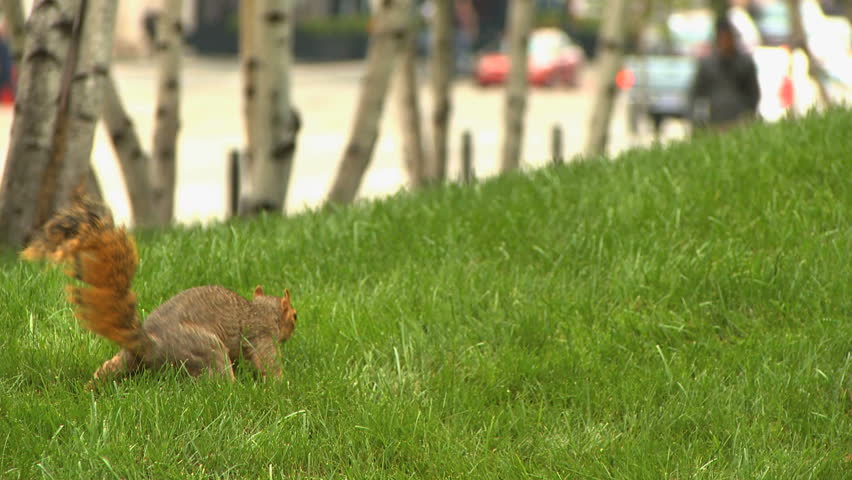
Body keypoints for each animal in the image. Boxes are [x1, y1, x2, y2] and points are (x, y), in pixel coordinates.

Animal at [21, 193, 297, 382]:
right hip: (206, 349)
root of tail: (150, 345)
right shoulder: (261, 336)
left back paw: (92, 386)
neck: (262, 310)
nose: (293, 329)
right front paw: (280, 383)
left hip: (126, 360)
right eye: (294, 316)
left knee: (111, 367)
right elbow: (267, 361)